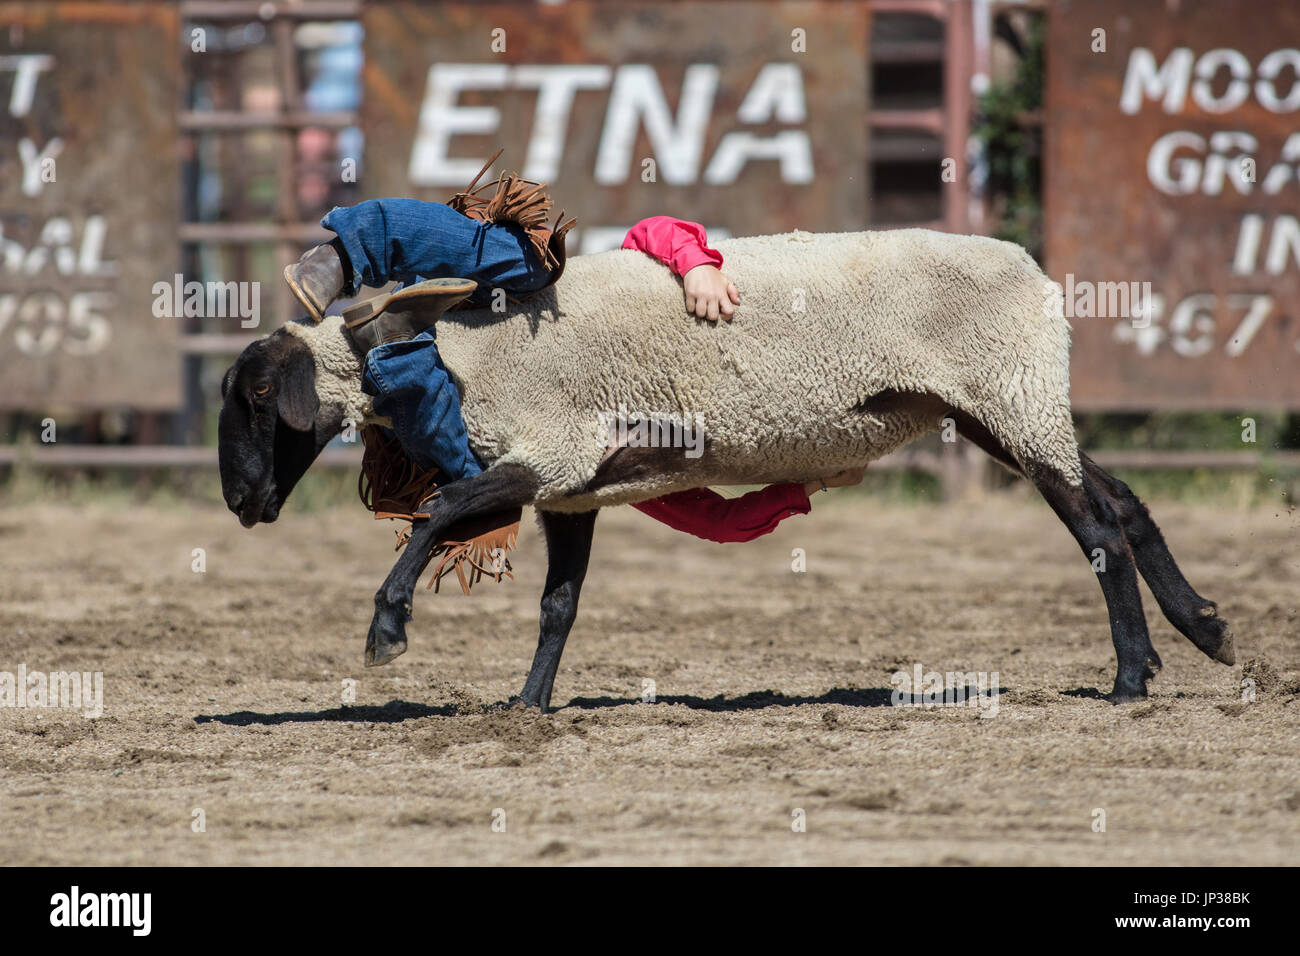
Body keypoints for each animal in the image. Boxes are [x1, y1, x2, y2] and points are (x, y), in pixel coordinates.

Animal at [218, 227, 1235, 711]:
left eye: (260, 398)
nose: (238, 501)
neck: (456, 351)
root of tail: (1034, 271)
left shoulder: (547, 453)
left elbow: (438, 515)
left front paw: (386, 630)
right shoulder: (572, 487)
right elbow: (559, 604)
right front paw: (529, 703)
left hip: (1008, 395)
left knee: (1096, 527)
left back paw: (1132, 676)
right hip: (1007, 406)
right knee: (1123, 500)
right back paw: (1204, 630)